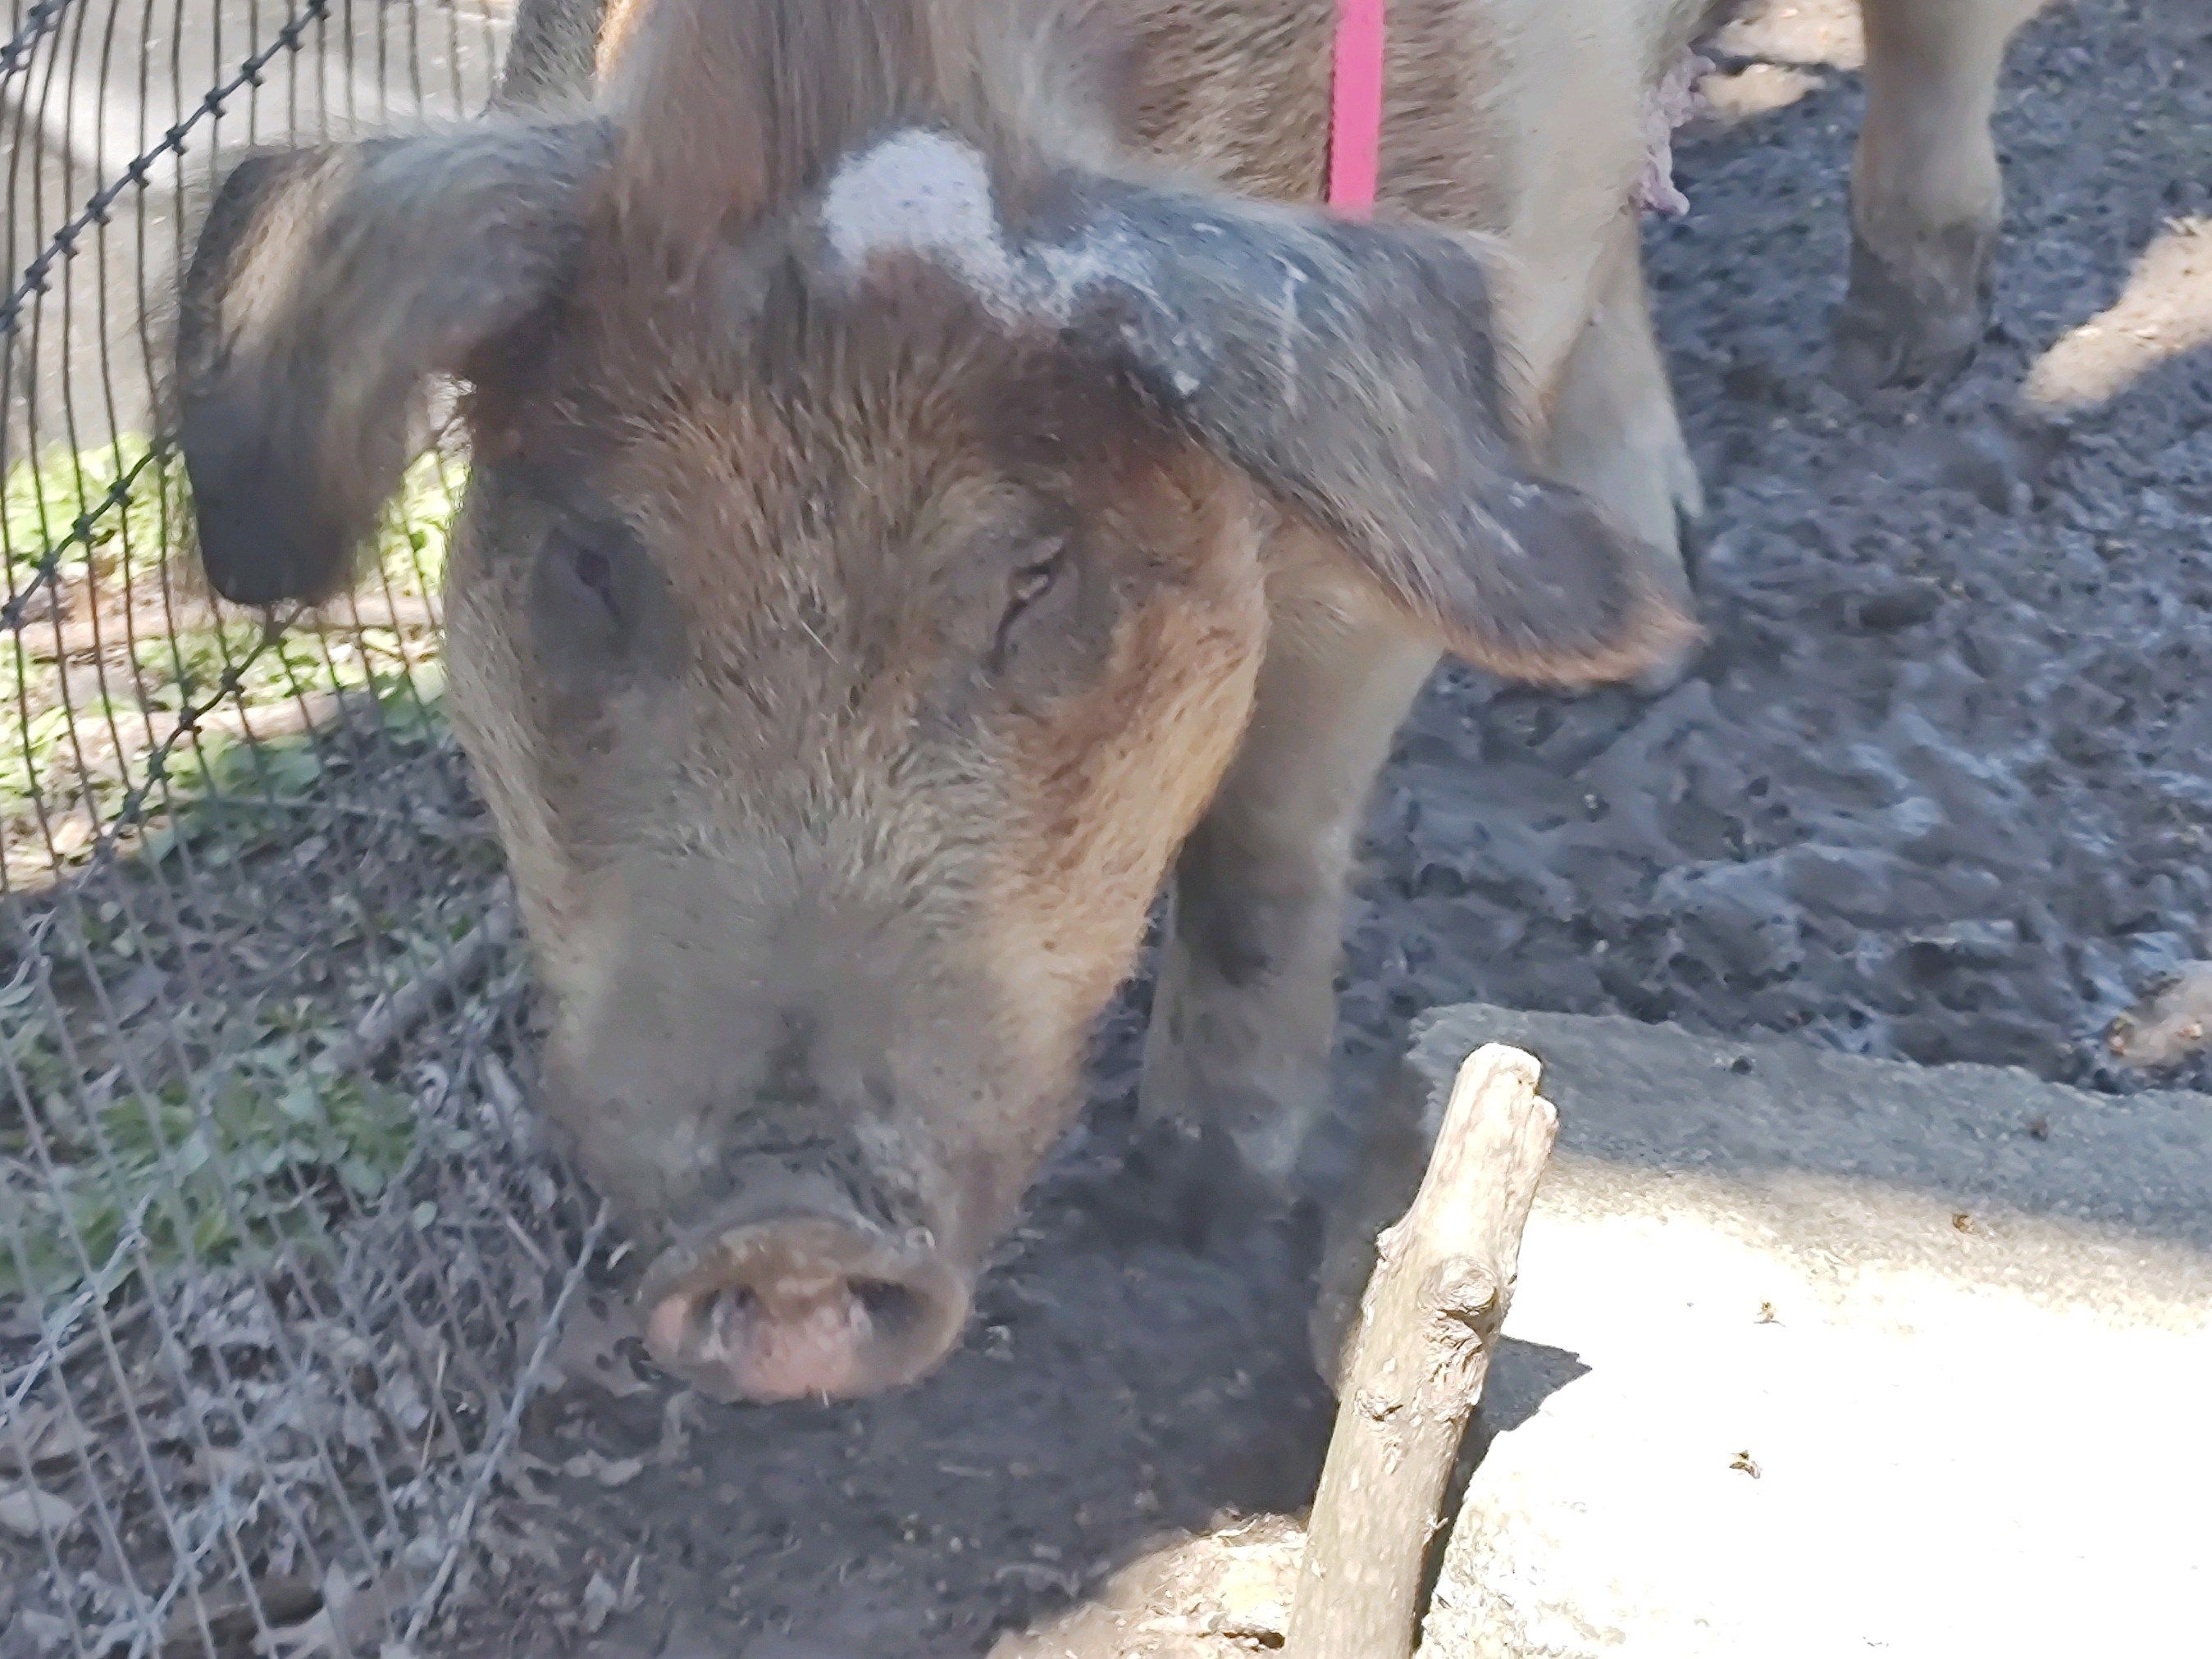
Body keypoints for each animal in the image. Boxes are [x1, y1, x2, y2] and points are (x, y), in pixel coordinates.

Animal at [171, 0, 2034, 1404]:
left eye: (1032, 576)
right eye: (589, 563)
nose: (784, 1229)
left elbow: (1268, 832)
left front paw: (1192, 1202)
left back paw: (1895, 359)